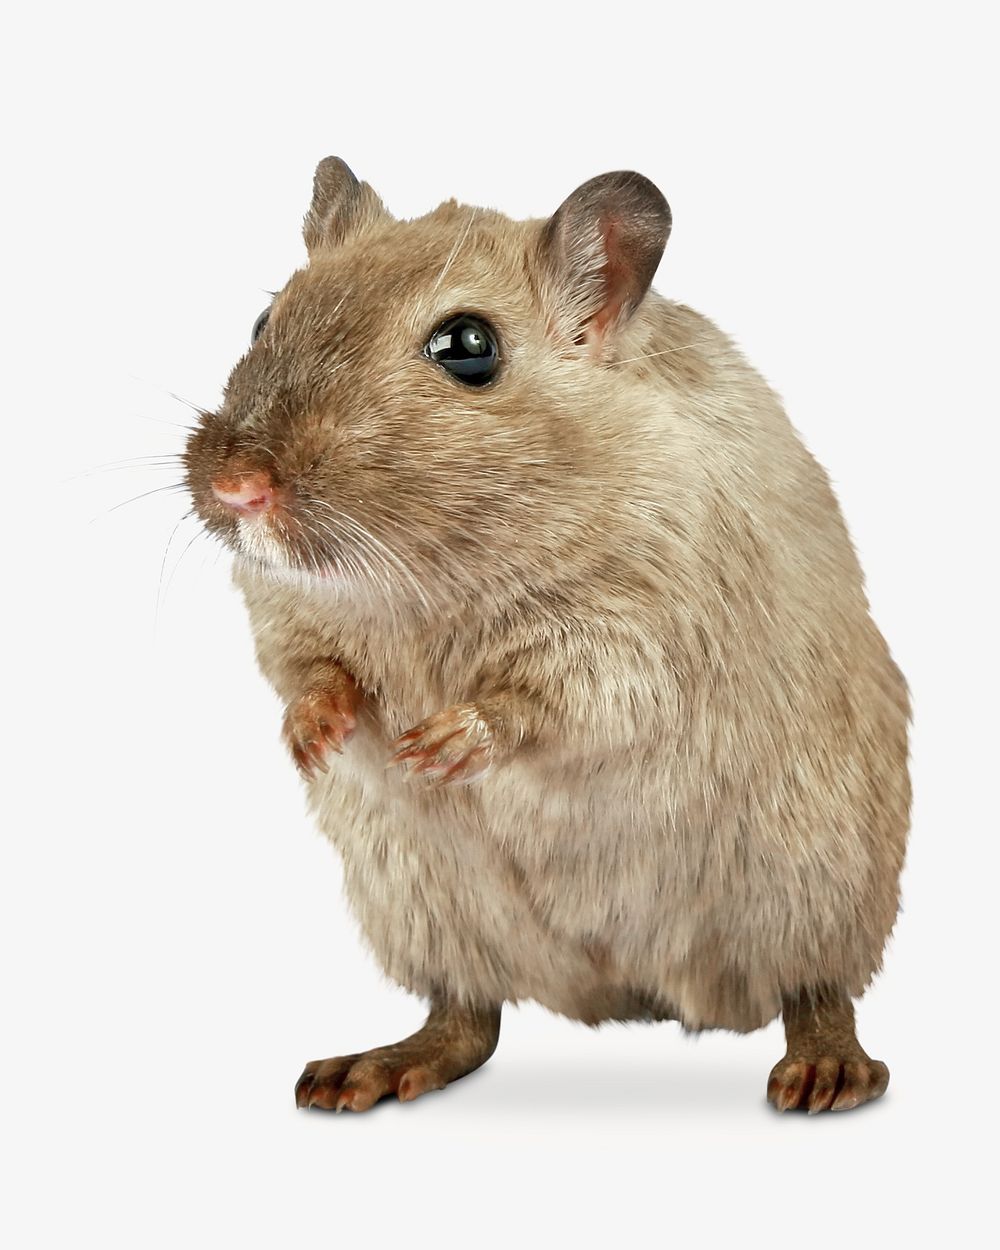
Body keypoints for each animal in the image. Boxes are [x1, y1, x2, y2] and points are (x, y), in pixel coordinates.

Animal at [184, 157, 910, 1114]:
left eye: (468, 347)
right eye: (265, 317)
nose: (236, 489)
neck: (423, 577)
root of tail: (636, 991)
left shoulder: (637, 633)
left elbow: (555, 699)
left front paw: (444, 743)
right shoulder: (284, 613)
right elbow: (307, 669)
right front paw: (316, 737)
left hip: (818, 883)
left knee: (817, 991)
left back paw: (827, 1071)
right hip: (427, 908)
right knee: (467, 1018)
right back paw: (366, 1071)